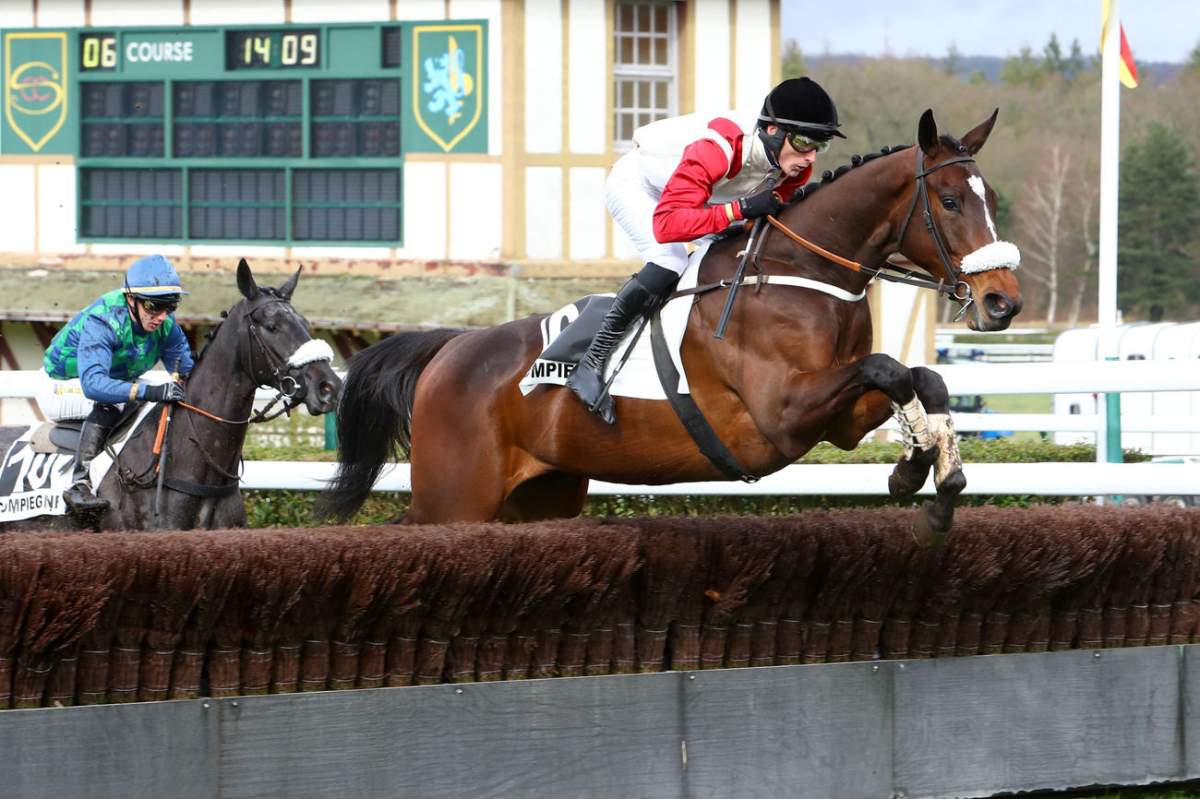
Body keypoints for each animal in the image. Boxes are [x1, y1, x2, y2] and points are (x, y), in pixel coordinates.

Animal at [323, 109, 1022, 545]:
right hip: (455, 500)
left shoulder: (836, 419)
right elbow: (887, 369)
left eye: (991, 198)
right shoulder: (781, 412)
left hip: (537, 498)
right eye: (950, 202)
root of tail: (448, 350)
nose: (1003, 303)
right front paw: (922, 471)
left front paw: (930, 478)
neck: (801, 272)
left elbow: (921, 378)